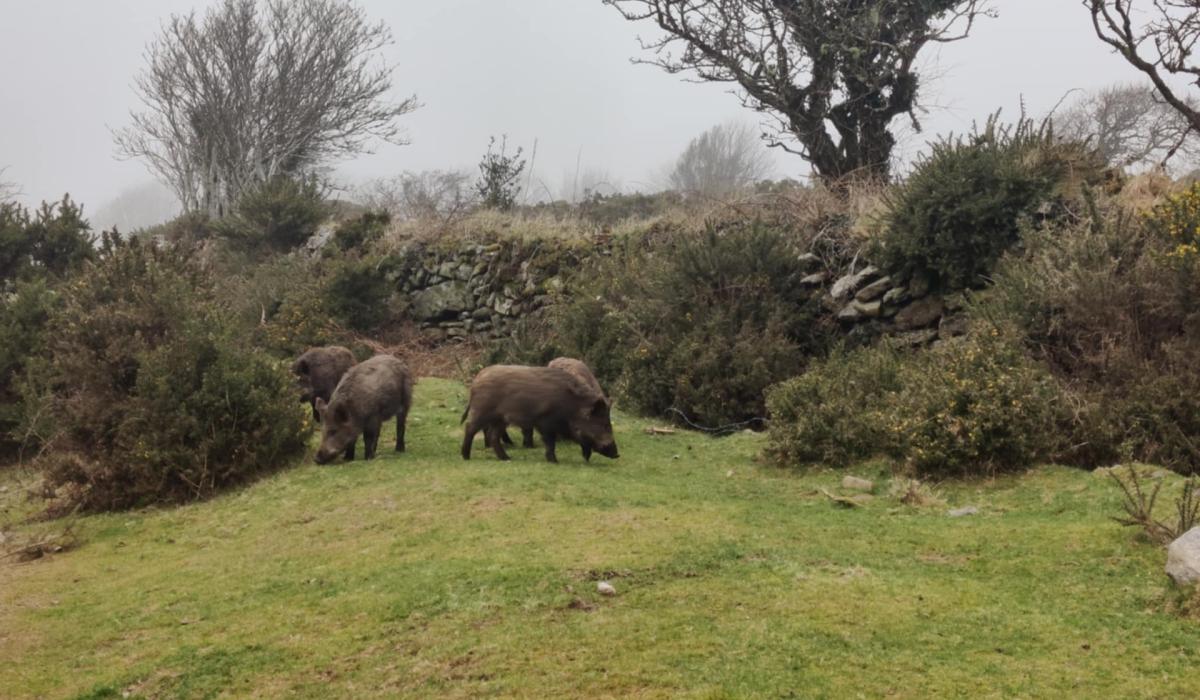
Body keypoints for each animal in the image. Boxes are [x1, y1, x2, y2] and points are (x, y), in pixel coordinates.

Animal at [461, 364, 618, 463]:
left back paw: (507, 458)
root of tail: (477, 379)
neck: (572, 407)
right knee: (470, 428)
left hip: (500, 420)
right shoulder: (545, 423)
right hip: (481, 411)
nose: (617, 454)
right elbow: (550, 443)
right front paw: (554, 461)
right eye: (604, 424)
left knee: (493, 436)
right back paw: (466, 457)